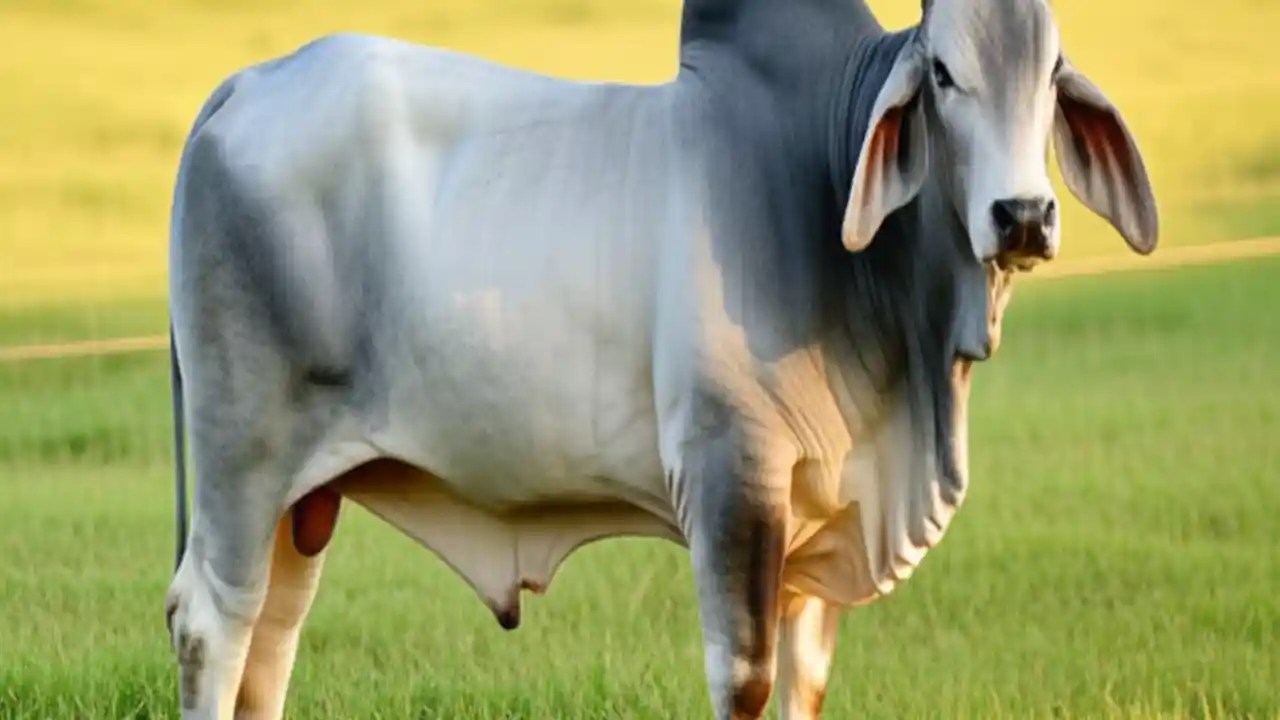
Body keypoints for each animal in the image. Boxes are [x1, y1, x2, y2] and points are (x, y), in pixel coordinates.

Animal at [164, 0, 1158, 717]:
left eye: (1052, 72)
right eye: (945, 73)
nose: (1022, 216)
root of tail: (247, 84)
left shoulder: (823, 516)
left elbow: (805, 683)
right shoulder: (732, 474)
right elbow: (746, 678)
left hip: (305, 496)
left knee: (273, 635)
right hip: (243, 452)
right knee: (216, 623)